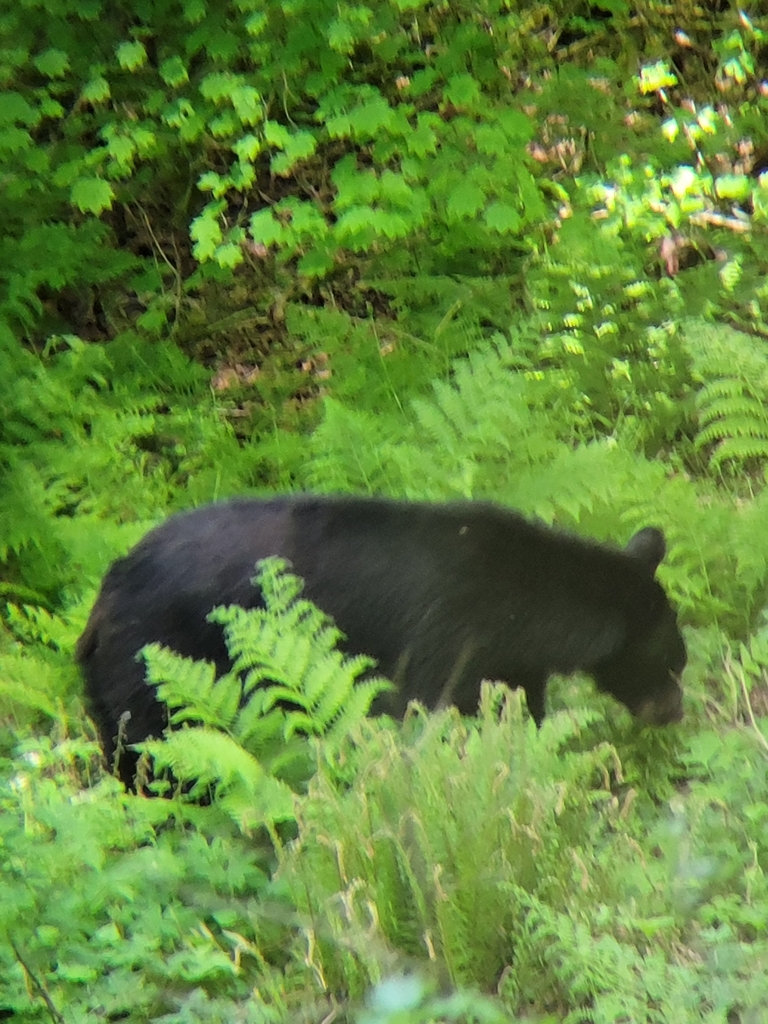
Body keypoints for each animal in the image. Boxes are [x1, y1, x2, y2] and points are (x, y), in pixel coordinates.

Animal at [77, 495, 686, 786]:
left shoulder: (509, 659)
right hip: (155, 661)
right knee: (154, 749)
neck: (525, 605)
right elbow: (430, 712)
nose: (675, 711)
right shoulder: (447, 634)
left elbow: (517, 711)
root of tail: (103, 596)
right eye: (671, 661)